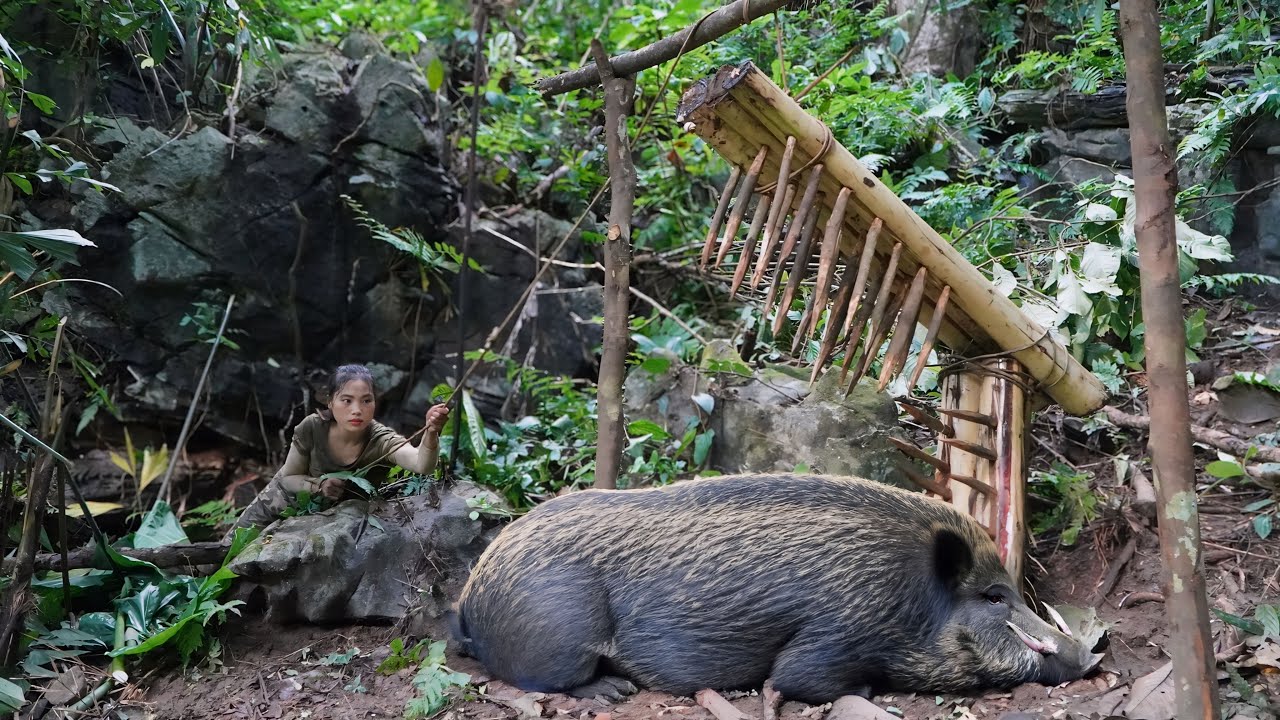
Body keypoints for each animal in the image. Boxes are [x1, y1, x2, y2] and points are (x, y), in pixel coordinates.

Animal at [451, 473, 1103, 703]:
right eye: (994, 597)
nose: (1091, 658)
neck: (908, 600)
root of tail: (469, 595)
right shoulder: (830, 641)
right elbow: (796, 681)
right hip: (558, 636)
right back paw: (611, 694)